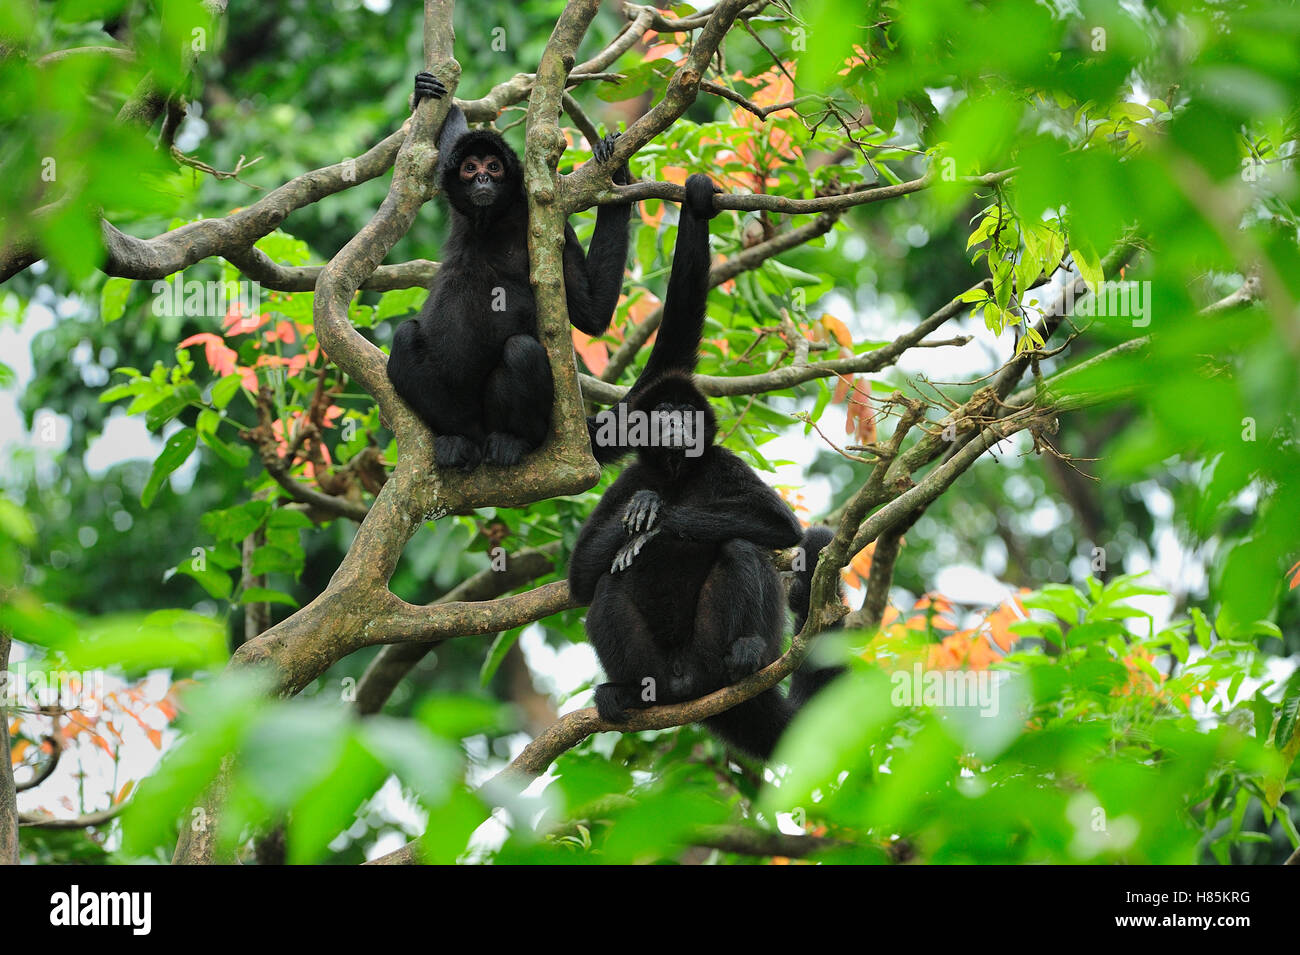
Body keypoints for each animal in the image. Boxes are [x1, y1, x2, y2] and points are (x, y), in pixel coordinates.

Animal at [386, 72, 632, 471]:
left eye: (493, 167)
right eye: (470, 168)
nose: (483, 181)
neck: (491, 223)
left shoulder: (549, 224)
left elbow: (591, 316)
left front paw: (619, 176)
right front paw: (425, 91)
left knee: (521, 350)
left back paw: (512, 440)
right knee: (406, 336)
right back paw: (458, 441)